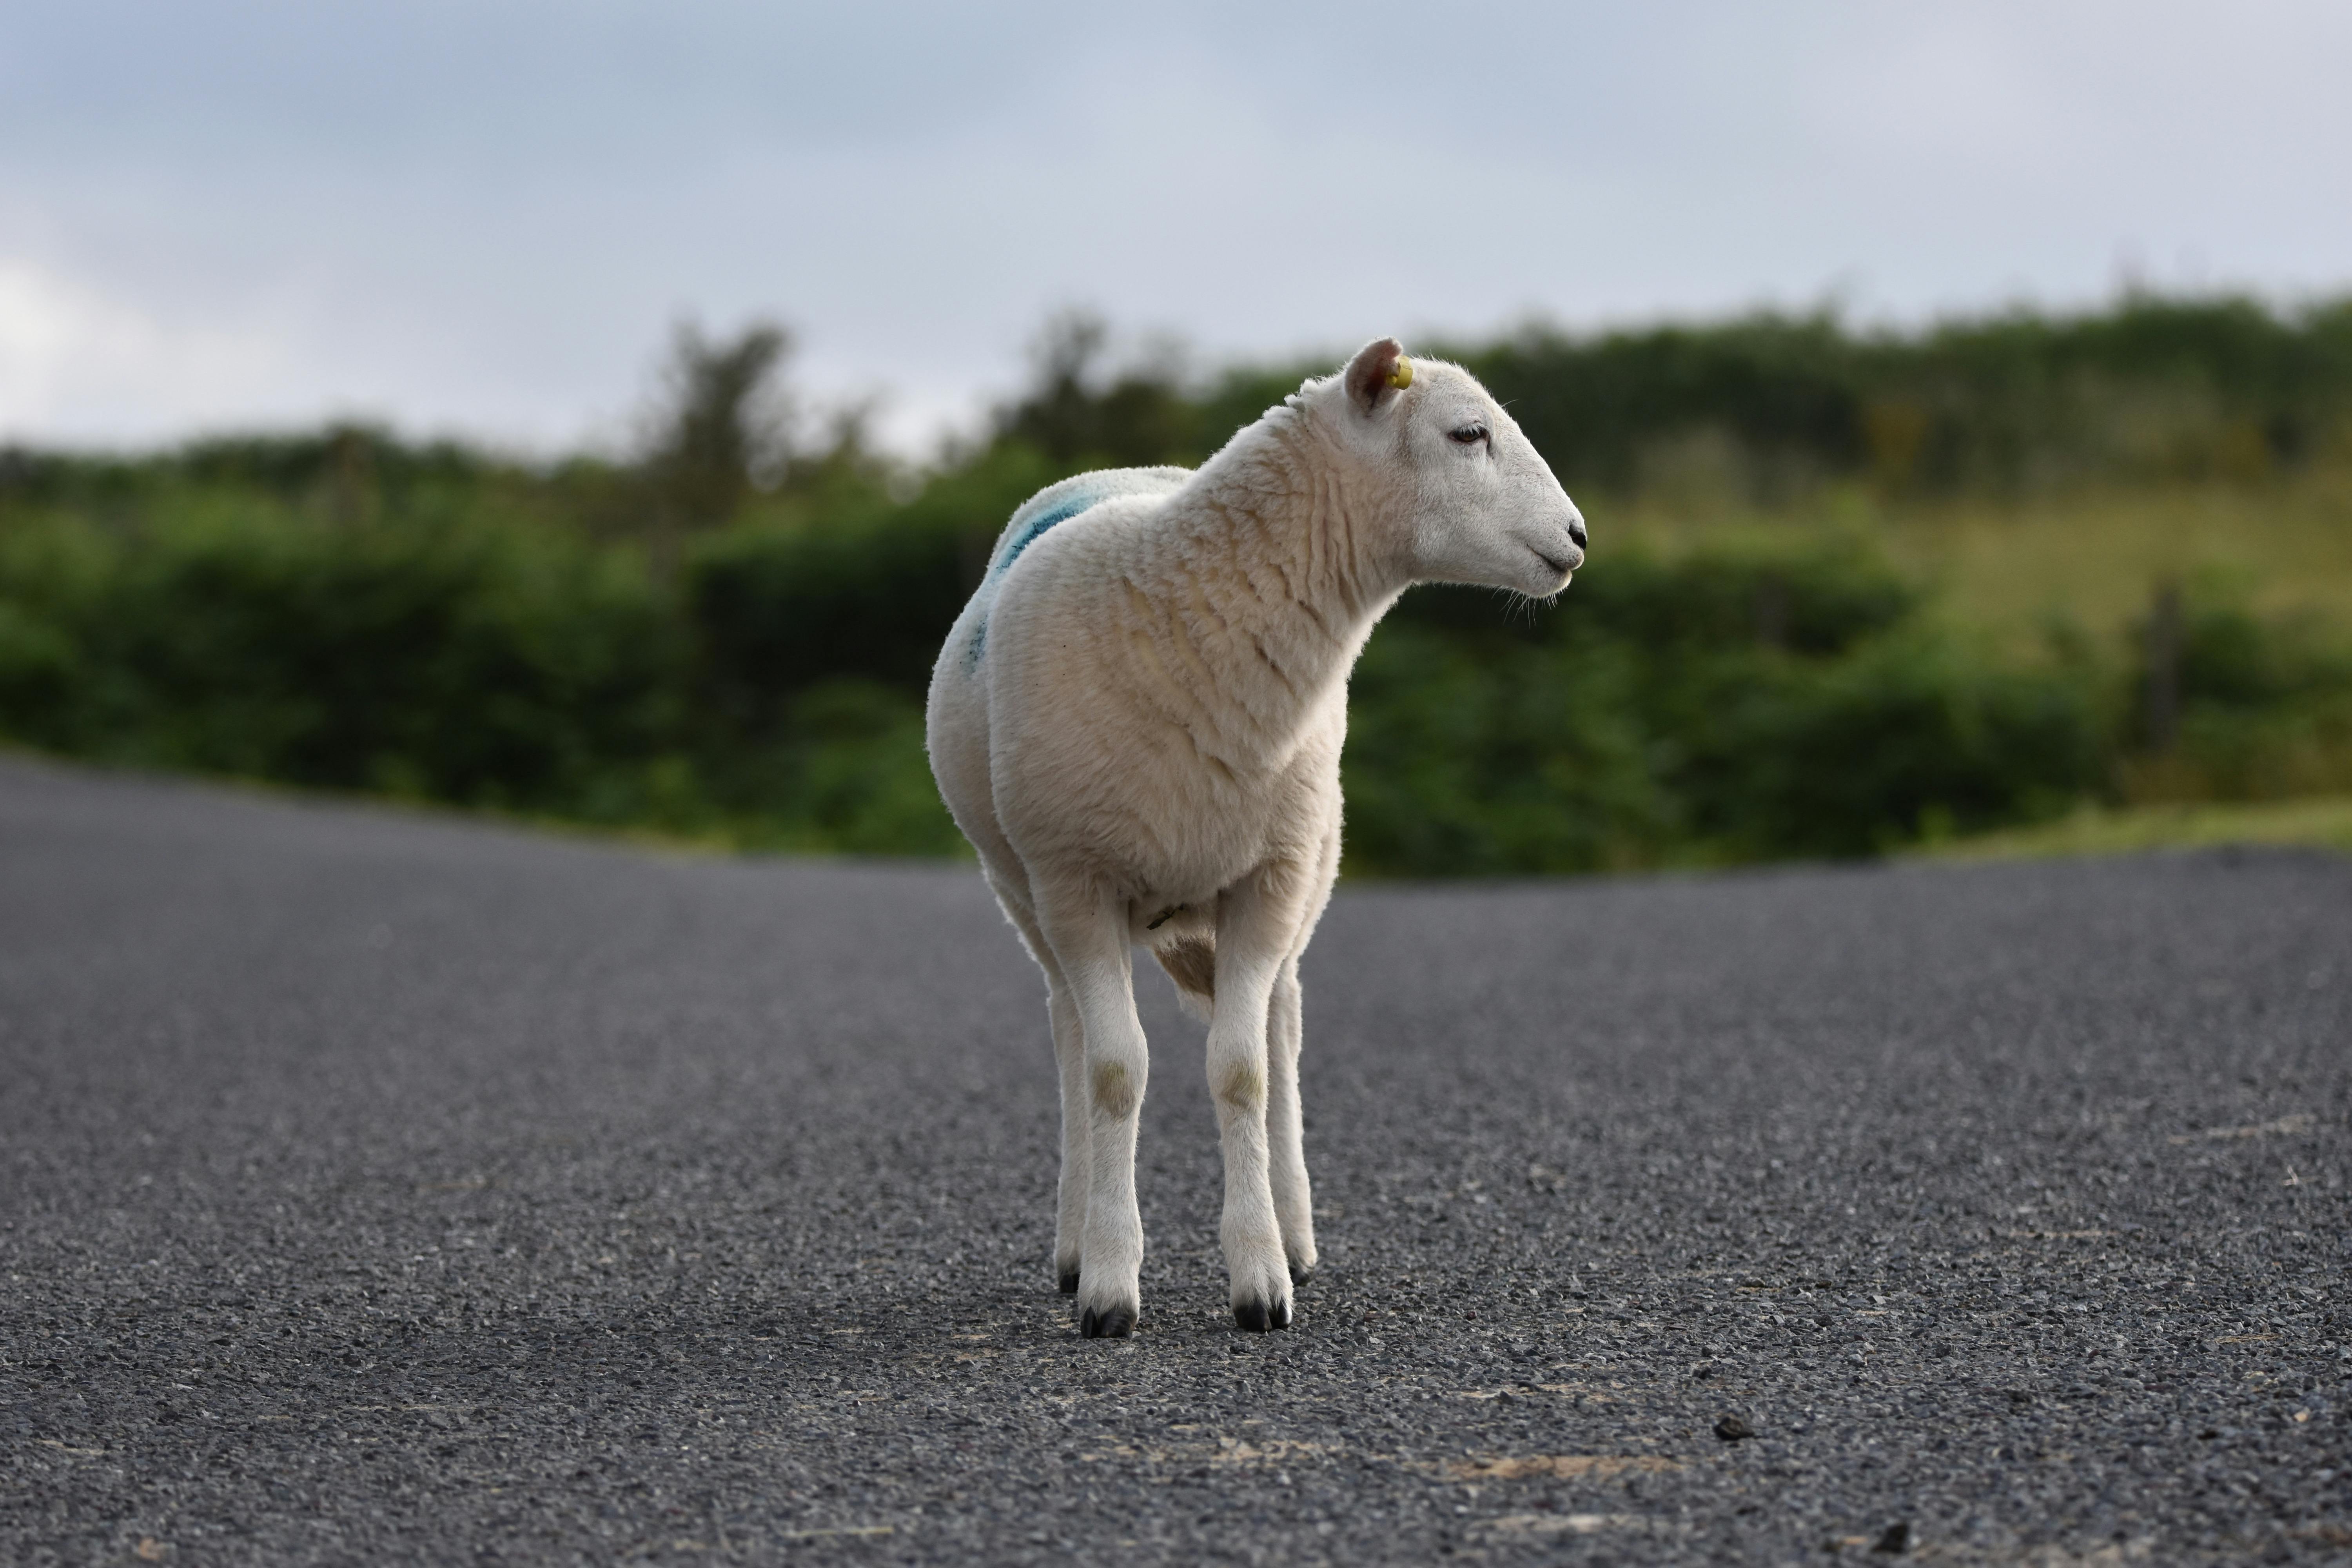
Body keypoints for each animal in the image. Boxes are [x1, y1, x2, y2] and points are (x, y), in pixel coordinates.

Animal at [925, 337, 1587, 1337]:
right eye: (1468, 434)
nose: (1580, 536)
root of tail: (1123, 473)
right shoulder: (1075, 881)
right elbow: (1115, 1071)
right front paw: (1111, 1285)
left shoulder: (1268, 881)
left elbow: (1243, 1072)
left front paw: (1262, 1278)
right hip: (1025, 894)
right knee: (1072, 1039)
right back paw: (1076, 1246)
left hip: (1300, 874)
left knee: (1280, 1030)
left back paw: (1295, 1230)